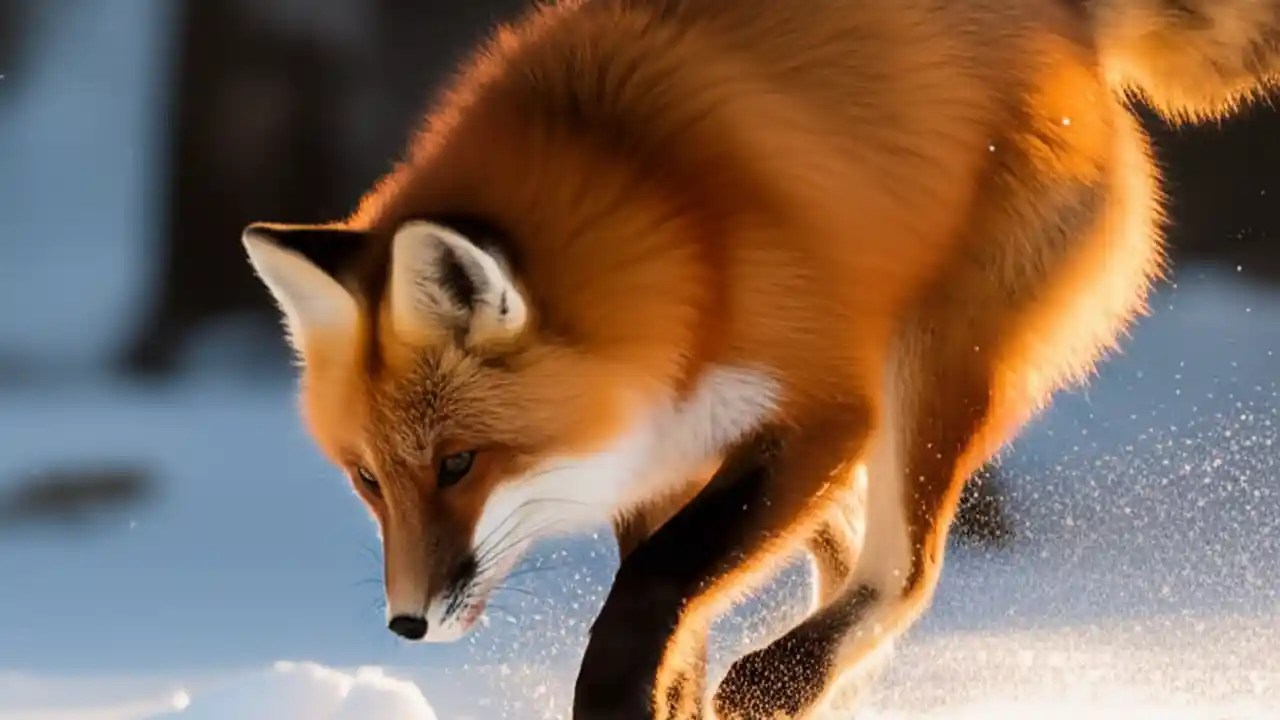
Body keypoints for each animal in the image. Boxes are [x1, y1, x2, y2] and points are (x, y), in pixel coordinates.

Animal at [240, 0, 1279, 717]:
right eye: (368, 481)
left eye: (458, 464)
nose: (406, 623)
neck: (674, 233)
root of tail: (1065, 16)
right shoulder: (662, 464)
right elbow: (675, 625)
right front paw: (666, 706)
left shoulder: (825, 413)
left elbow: (653, 591)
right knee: (850, 567)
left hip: (928, 369)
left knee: (906, 573)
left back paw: (780, 680)